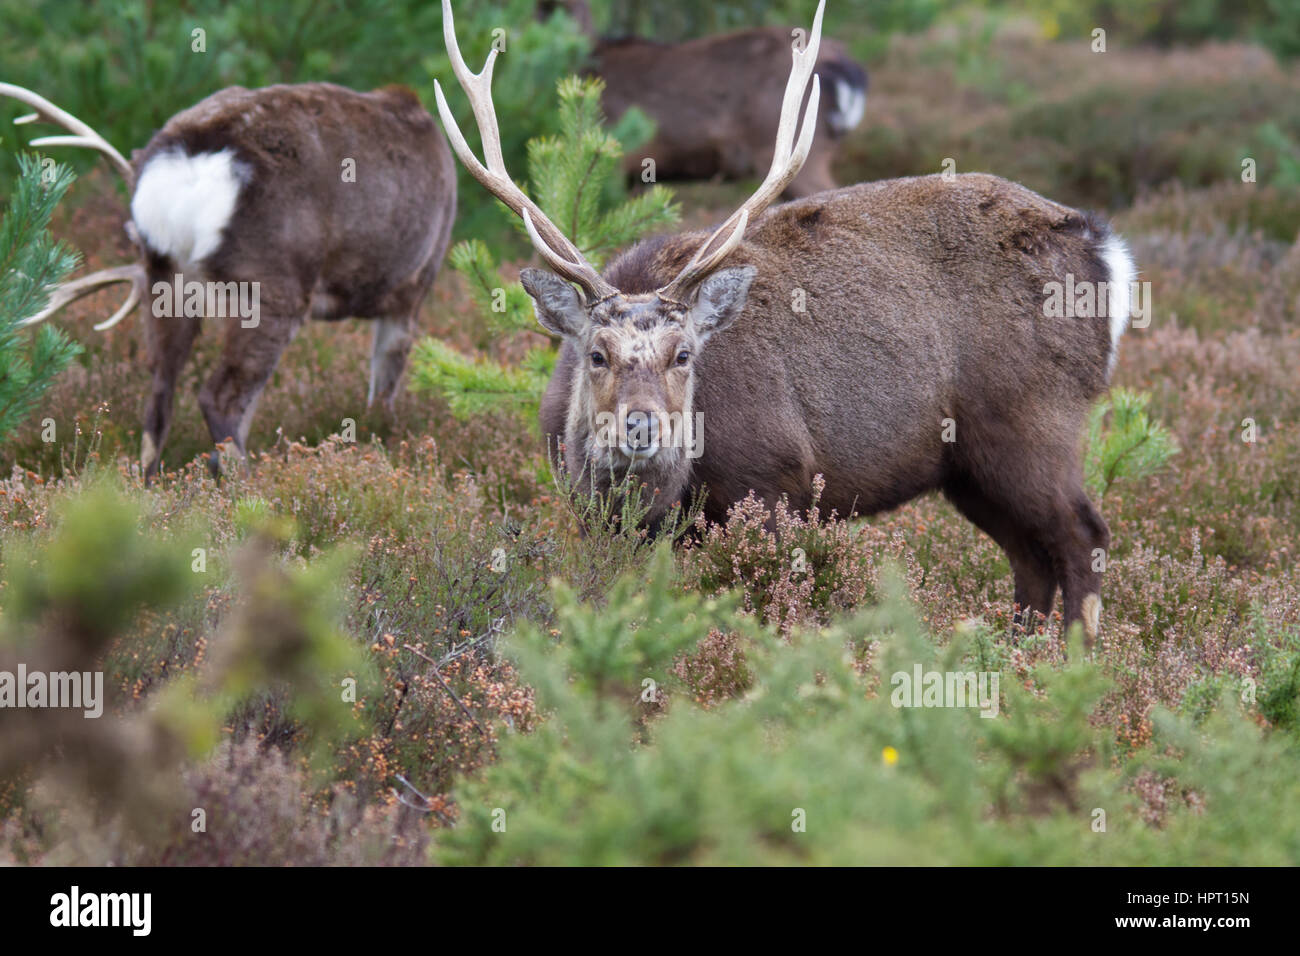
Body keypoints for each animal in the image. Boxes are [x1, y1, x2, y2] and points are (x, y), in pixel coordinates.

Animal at [0, 80, 457, 480]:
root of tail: (186, 161)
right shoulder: (413, 287)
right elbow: (384, 395)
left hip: (163, 278)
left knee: (160, 399)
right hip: (271, 286)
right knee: (217, 398)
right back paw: (250, 494)